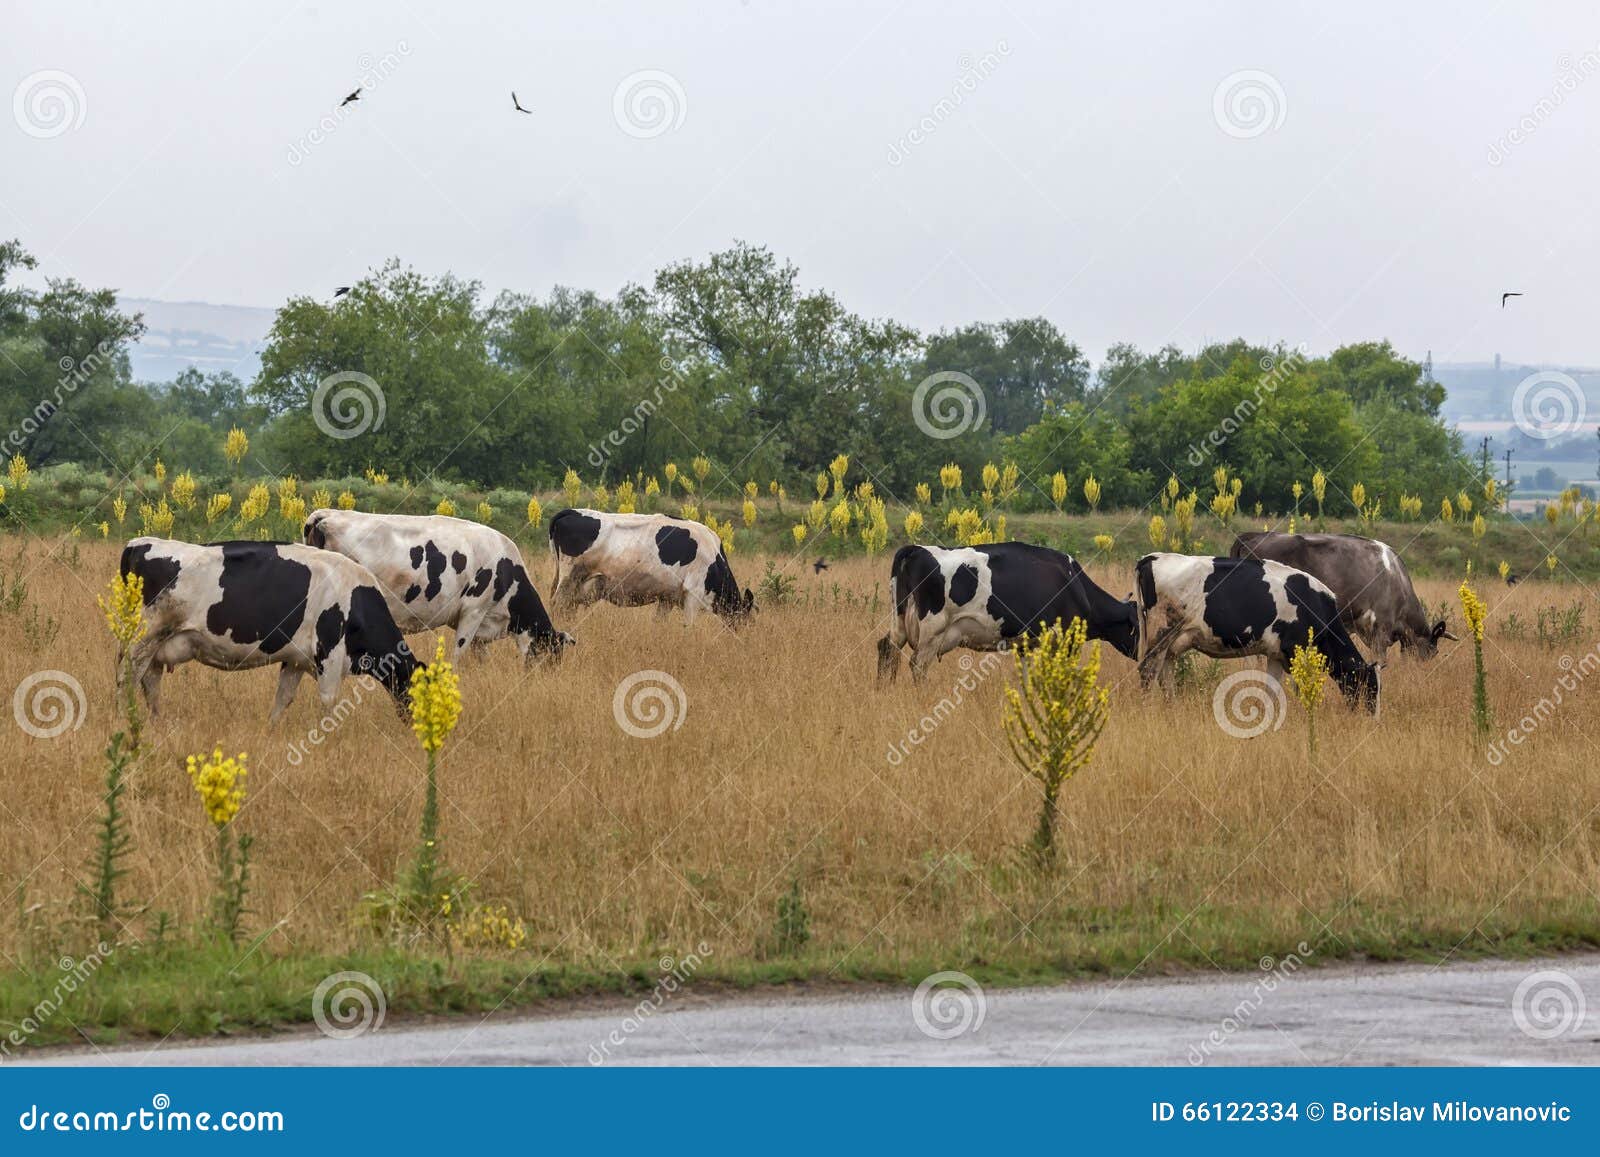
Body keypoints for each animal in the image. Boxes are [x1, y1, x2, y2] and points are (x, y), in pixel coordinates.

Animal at [118, 537, 422, 723]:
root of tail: (138, 543)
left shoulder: (297, 659)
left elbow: (283, 698)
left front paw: (271, 728)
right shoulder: (330, 652)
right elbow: (329, 702)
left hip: (157, 646)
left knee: (151, 683)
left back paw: (156, 722)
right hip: (143, 638)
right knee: (127, 679)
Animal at [548, 509, 754, 624]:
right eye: (746, 619)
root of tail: (571, 511)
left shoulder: (667, 598)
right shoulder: (693, 594)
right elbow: (689, 626)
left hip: (574, 583)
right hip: (569, 577)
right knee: (557, 605)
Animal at [877, 541, 1140, 682]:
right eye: (1139, 627)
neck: (1075, 584)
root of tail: (916, 549)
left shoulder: (1025, 644)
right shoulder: (1063, 639)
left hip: (899, 621)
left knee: (887, 648)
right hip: (933, 630)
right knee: (917, 664)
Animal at [1135, 552, 1380, 714]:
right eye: (1371, 688)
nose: (1372, 720)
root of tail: (1152, 557)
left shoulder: (1276, 655)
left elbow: (1270, 690)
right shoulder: (1295, 650)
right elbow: (1299, 687)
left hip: (1171, 642)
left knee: (1164, 675)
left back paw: (1171, 708)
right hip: (1161, 632)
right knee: (1148, 671)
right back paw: (1146, 708)